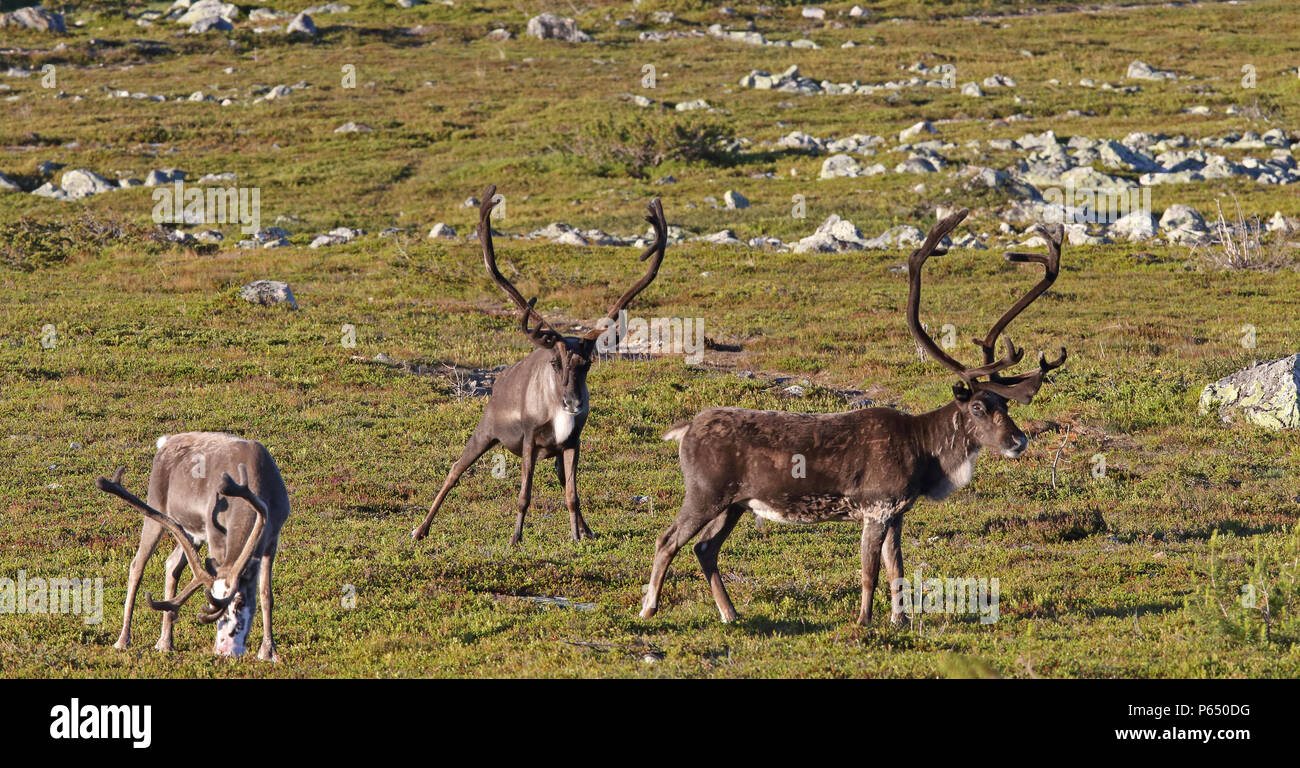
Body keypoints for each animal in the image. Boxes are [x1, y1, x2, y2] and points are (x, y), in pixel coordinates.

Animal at [97, 432, 290, 660]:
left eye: (240, 603)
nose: (223, 650)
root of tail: (165, 442)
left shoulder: (272, 537)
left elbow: (266, 595)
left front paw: (269, 651)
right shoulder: (216, 534)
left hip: (191, 533)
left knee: (172, 564)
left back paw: (165, 642)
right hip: (155, 508)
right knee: (137, 564)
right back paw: (123, 640)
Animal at [411, 185, 668, 546]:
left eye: (588, 363)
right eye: (554, 362)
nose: (573, 403)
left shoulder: (573, 441)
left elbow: (572, 494)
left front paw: (576, 536)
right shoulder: (530, 438)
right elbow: (524, 494)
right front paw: (515, 538)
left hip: (554, 449)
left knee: (562, 480)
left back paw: (587, 530)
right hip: (486, 429)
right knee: (455, 469)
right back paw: (421, 528)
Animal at [641, 209, 1066, 626]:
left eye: (1005, 405)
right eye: (978, 407)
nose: (1018, 441)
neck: (924, 452)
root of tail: (685, 429)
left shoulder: (896, 514)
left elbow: (897, 570)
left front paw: (901, 621)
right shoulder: (875, 509)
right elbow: (869, 572)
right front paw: (863, 623)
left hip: (735, 503)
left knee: (704, 547)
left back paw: (730, 614)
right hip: (704, 493)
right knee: (668, 539)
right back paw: (650, 608)